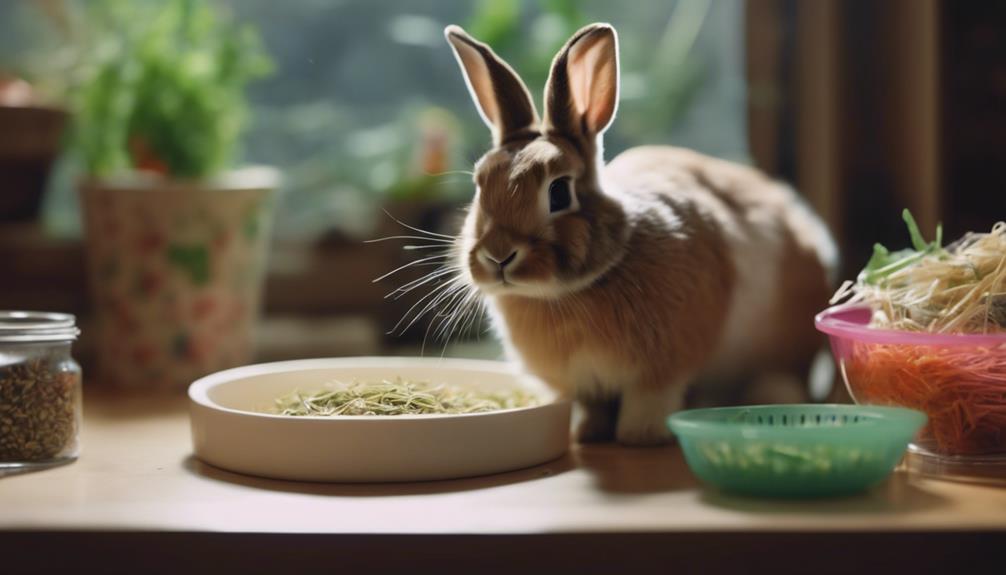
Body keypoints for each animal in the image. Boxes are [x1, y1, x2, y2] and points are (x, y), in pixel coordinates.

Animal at [442, 23, 837, 445]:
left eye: (559, 192)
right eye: (480, 185)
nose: (498, 255)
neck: (564, 295)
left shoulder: (662, 373)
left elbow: (649, 403)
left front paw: (640, 435)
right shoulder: (583, 385)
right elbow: (590, 407)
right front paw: (583, 433)